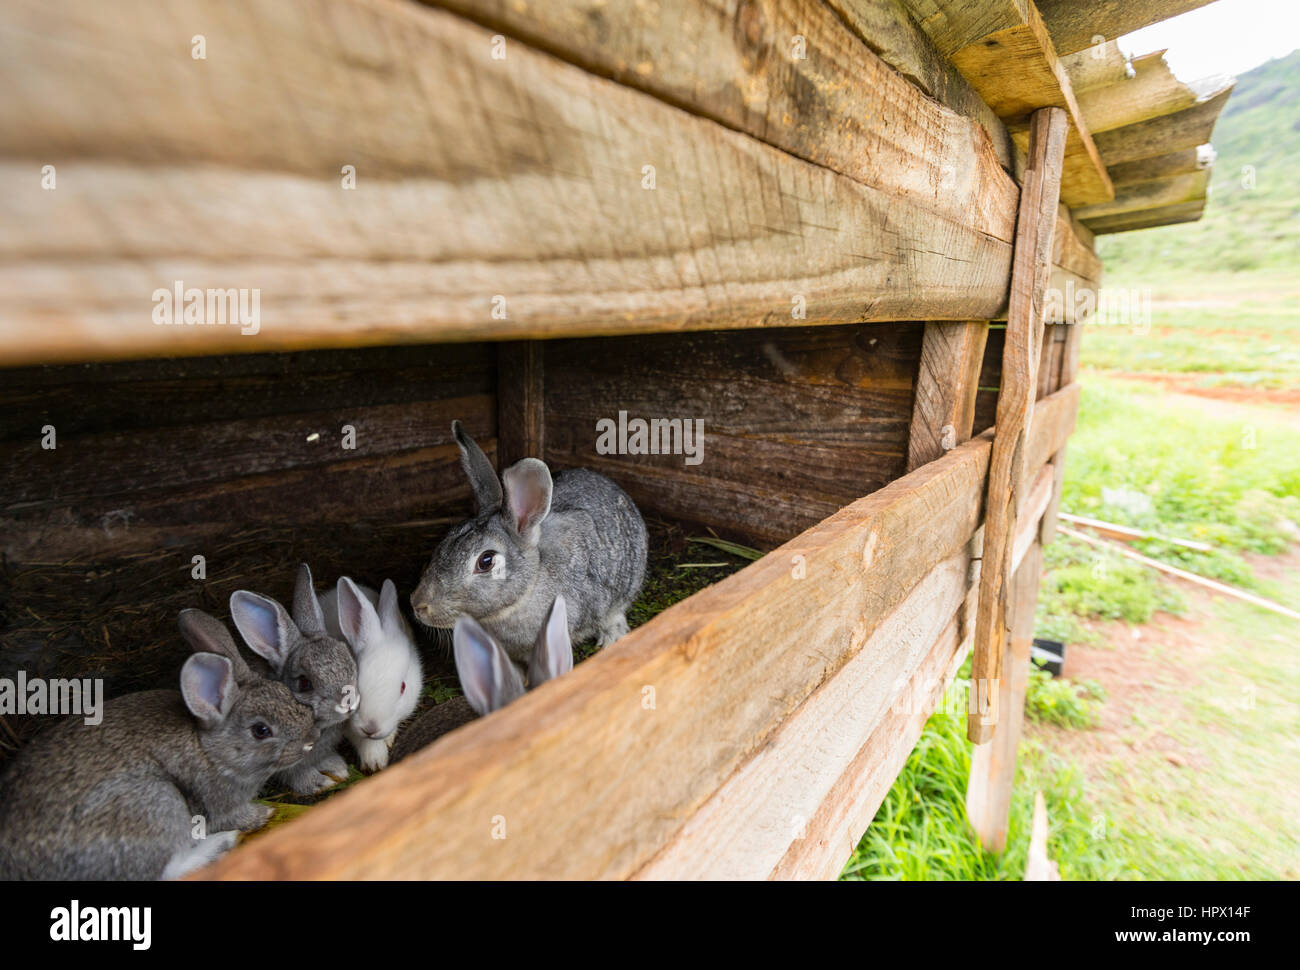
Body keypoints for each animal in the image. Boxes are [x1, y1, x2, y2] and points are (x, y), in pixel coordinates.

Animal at [0, 612, 319, 880]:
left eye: (287, 693)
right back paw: (220, 844)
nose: (310, 740)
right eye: (261, 731)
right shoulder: (220, 802)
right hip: (156, 803)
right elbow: (236, 815)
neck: (208, 750)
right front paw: (263, 814)